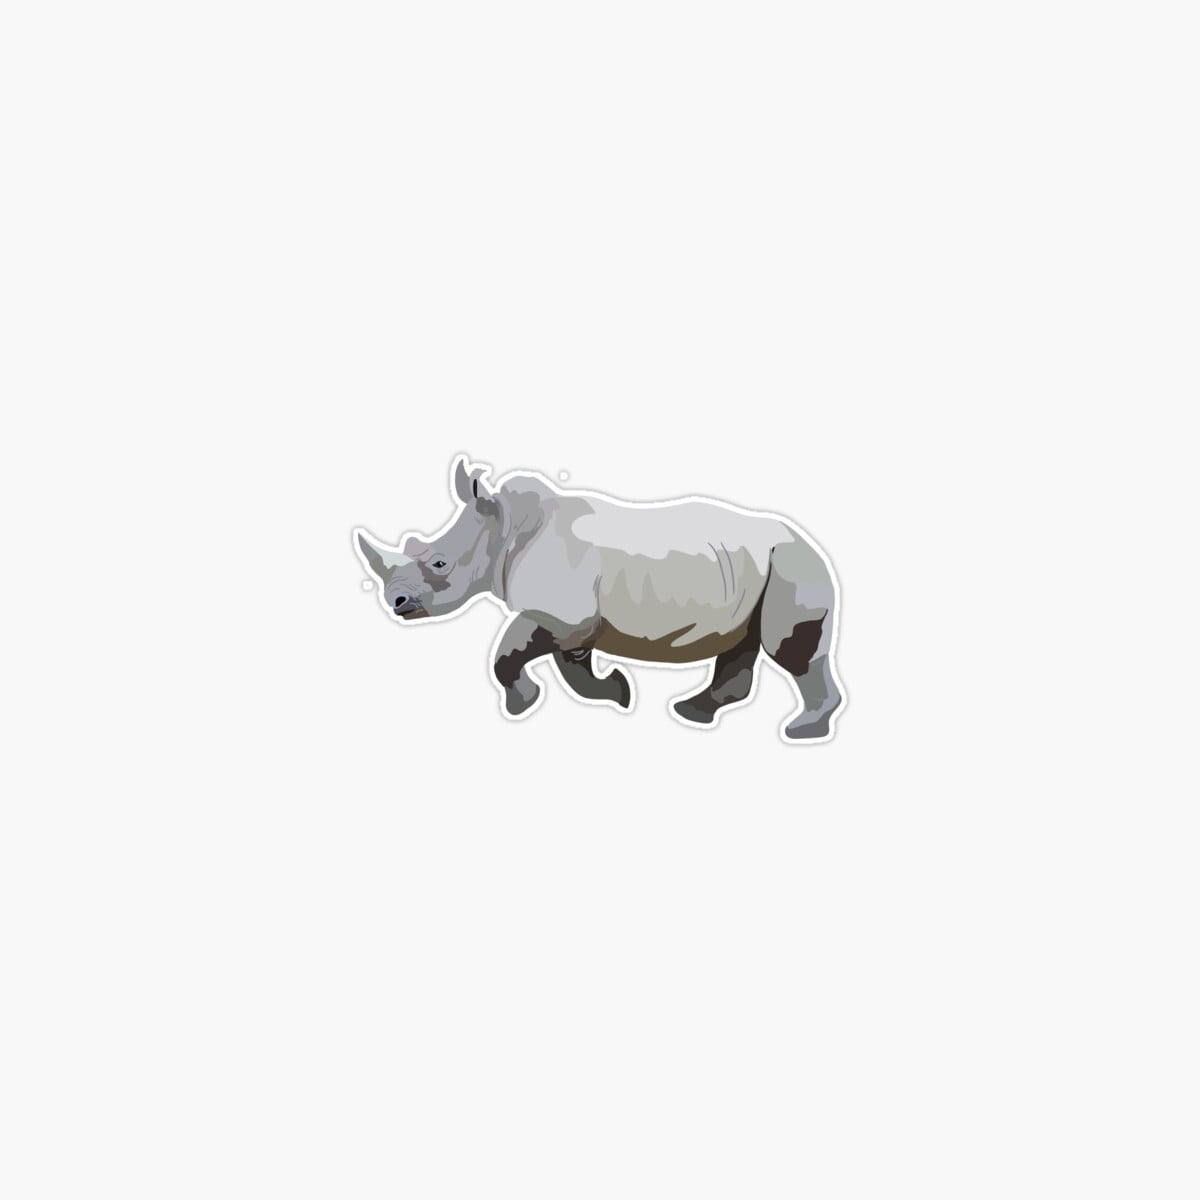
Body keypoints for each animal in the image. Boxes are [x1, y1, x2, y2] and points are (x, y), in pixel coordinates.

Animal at [354, 457, 844, 741]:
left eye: (438, 564)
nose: (397, 602)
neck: (505, 530)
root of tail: (813, 545)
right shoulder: (572, 620)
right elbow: (568, 662)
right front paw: (616, 693)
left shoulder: (563, 615)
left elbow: (508, 652)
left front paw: (524, 704)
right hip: (759, 567)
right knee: (740, 641)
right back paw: (692, 713)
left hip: (792, 565)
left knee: (787, 648)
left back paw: (802, 732)